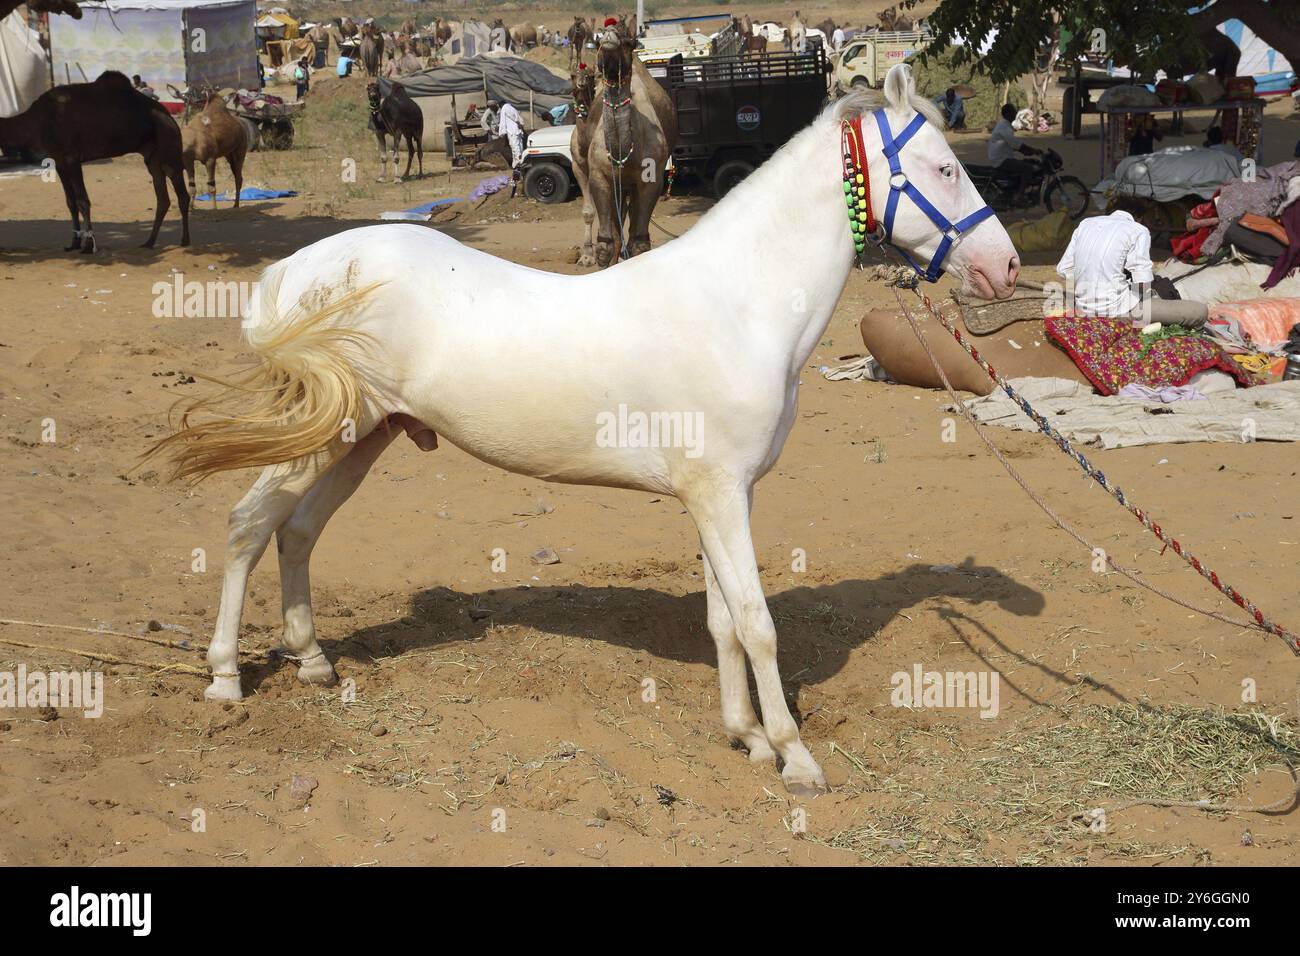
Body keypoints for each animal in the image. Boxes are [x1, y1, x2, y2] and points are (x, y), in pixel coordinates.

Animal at [150, 65, 1018, 796]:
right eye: (944, 169)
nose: (1004, 267)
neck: (739, 303)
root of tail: (290, 272)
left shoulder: (719, 497)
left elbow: (722, 619)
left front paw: (744, 736)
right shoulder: (721, 496)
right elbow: (757, 623)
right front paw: (793, 755)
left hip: (364, 438)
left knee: (297, 532)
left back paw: (313, 662)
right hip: (324, 435)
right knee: (248, 523)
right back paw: (225, 676)